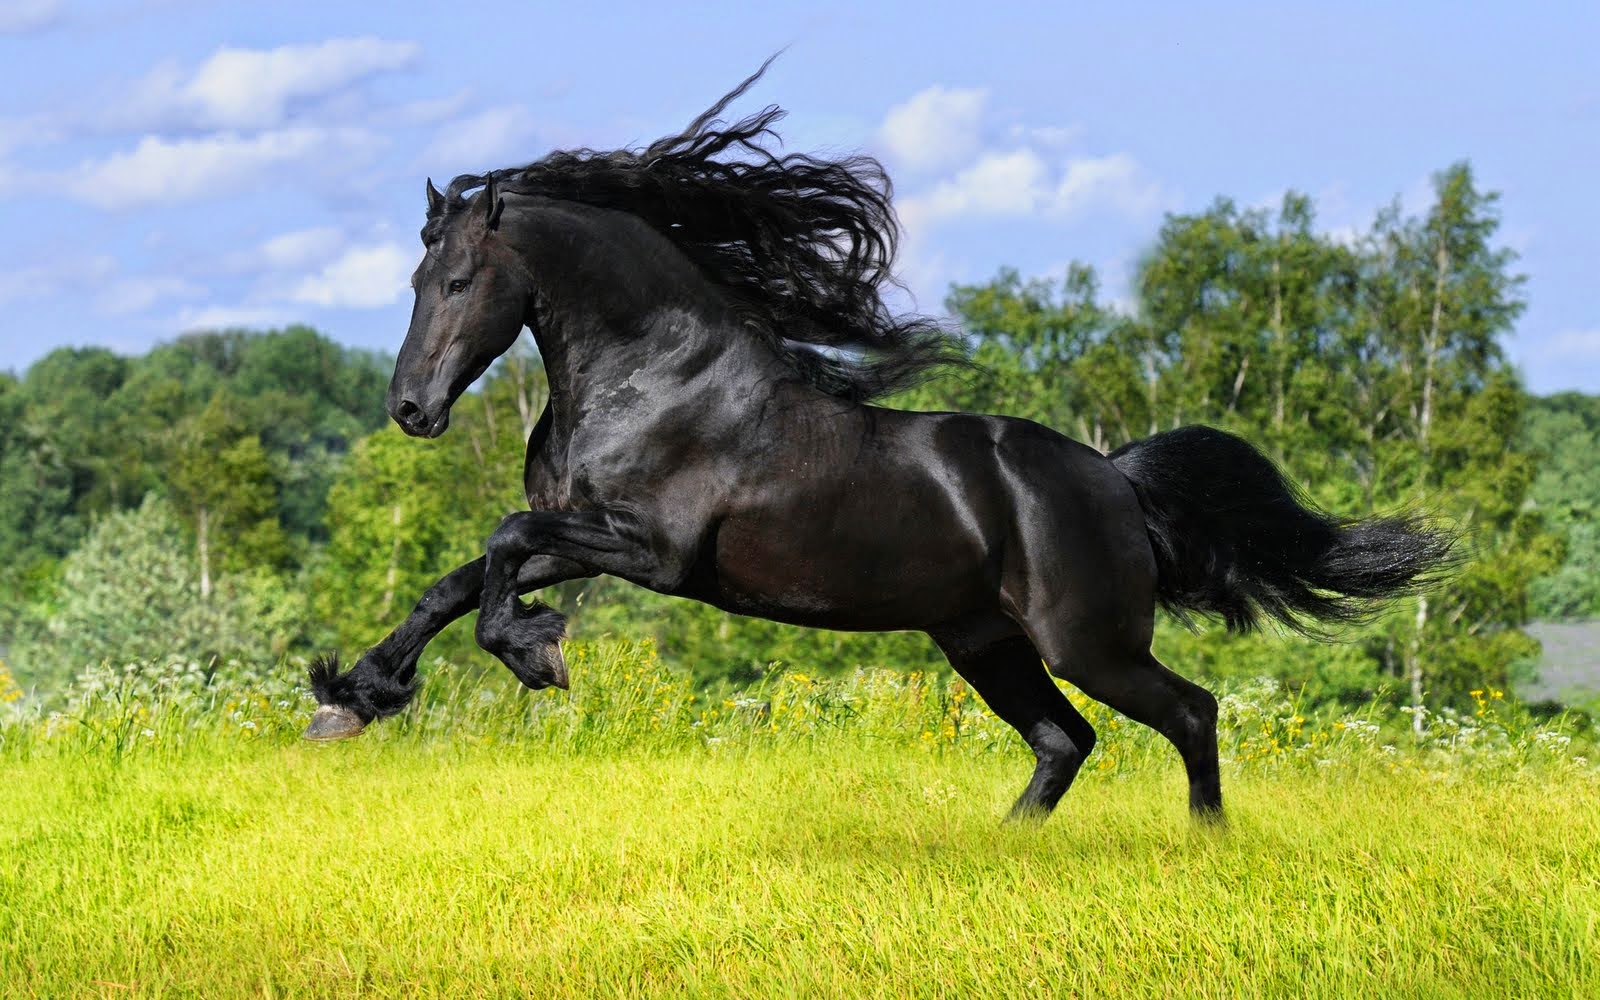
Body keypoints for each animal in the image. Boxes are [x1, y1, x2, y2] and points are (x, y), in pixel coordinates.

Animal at [304, 63, 1451, 821]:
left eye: (460, 280)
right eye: (415, 278)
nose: (411, 410)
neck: (655, 376)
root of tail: (1117, 482)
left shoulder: (652, 552)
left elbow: (498, 543)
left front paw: (534, 654)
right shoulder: (585, 533)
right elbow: (455, 580)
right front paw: (352, 699)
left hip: (1087, 641)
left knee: (1191, 712)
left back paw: (1204, 846)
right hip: (985, 641)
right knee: (1065, 739)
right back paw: (1005, 848)